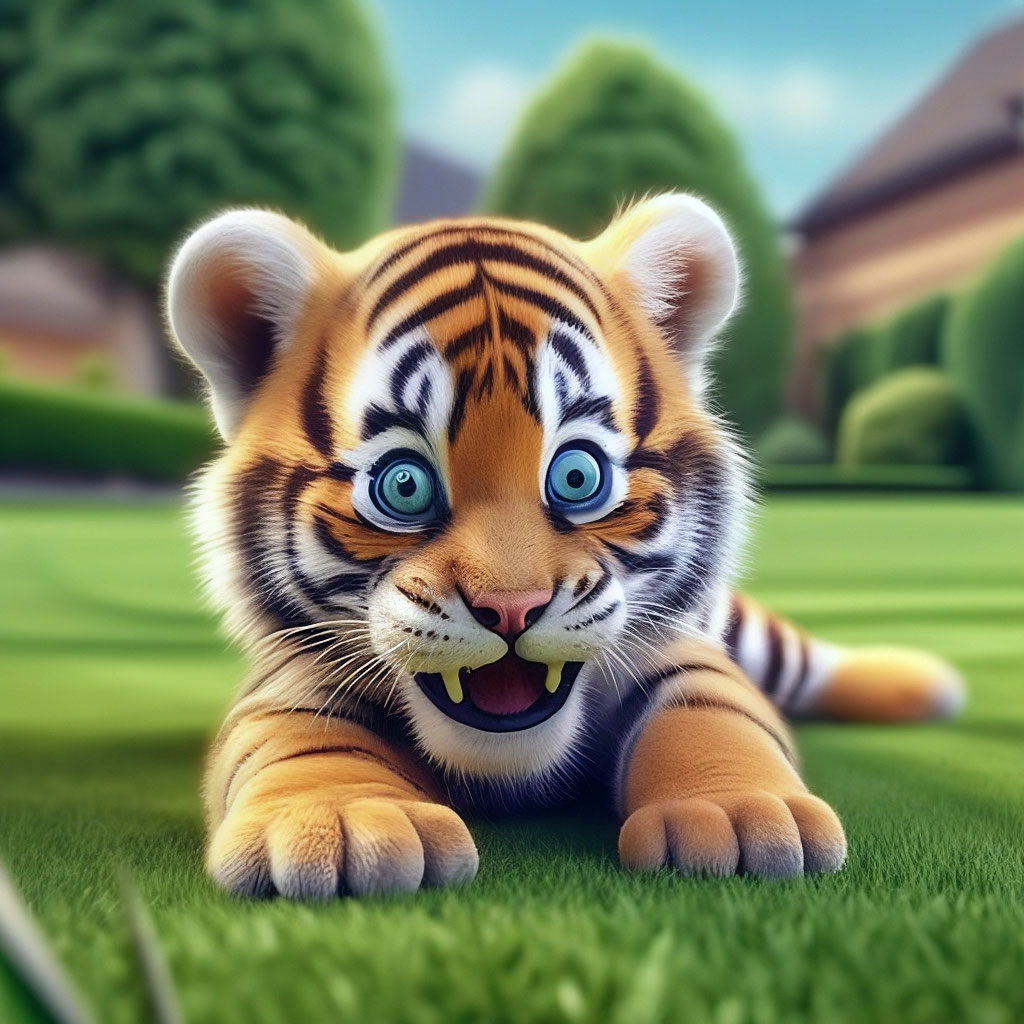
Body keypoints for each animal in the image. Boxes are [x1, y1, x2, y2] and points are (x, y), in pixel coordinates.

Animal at [166, 193, 964, 899]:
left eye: (578, 476)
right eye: (403, 486)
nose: (512, 609)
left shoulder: (680, 648)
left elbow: (712, 711)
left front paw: (740, 816)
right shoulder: (292, 676)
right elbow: (305, 737)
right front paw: (341, 824)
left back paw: (924, 683)